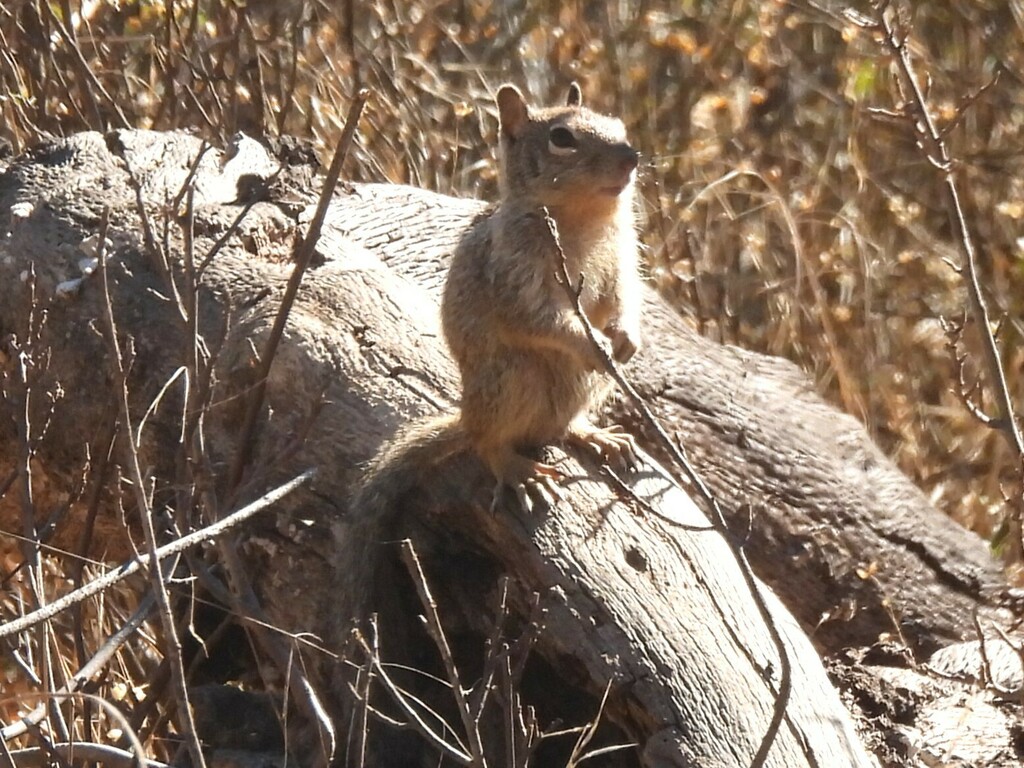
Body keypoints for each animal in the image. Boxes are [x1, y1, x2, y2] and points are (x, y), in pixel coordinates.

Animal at [355, 82, 643, 515]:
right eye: (562, 138)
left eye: (618, 125)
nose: (632, 157)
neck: (582, 218)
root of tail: (467, 417)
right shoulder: (514, 273)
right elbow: (538, 317)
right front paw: (593, 343)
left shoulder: (621, 257)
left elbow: (623, 295)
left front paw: (626, 336)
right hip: (512, 379)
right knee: (489, 443)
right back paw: (519, 472)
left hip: (586, 386)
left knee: (561, 427)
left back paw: (597, 435)